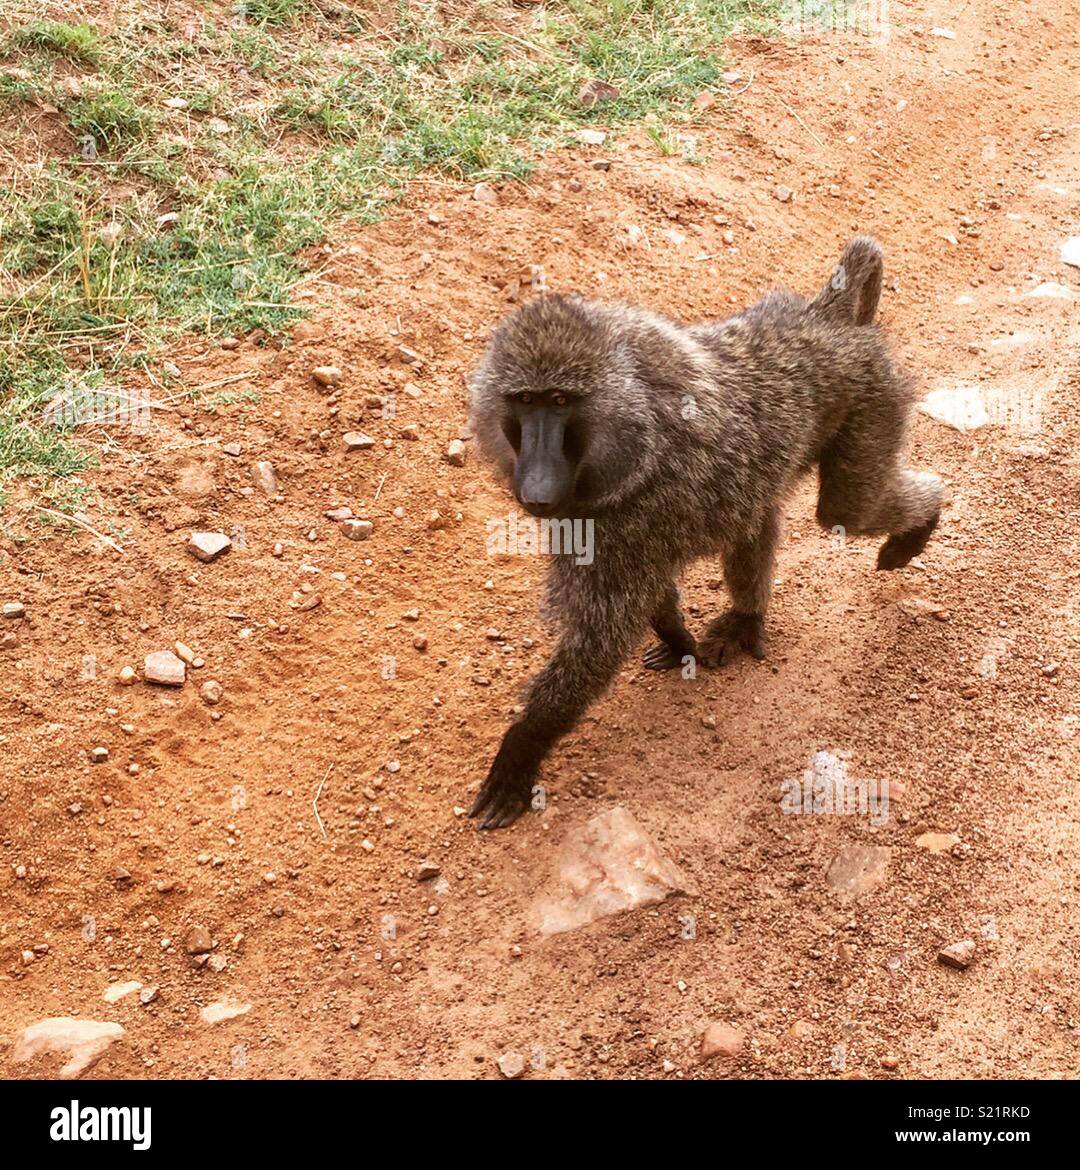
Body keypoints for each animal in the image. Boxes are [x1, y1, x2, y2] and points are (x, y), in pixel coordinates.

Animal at [467, 236, 942, 829]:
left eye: (559, 402)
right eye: (524, 401)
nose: (534, 485)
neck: (631, 422)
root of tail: (824, 319)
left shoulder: (629, 518)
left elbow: (602, 637)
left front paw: (520, 752)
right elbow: (652, 596)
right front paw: (679, 642)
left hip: (872, 397)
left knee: (846, 511)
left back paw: (922, 523)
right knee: (757, 519)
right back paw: (746, 619)